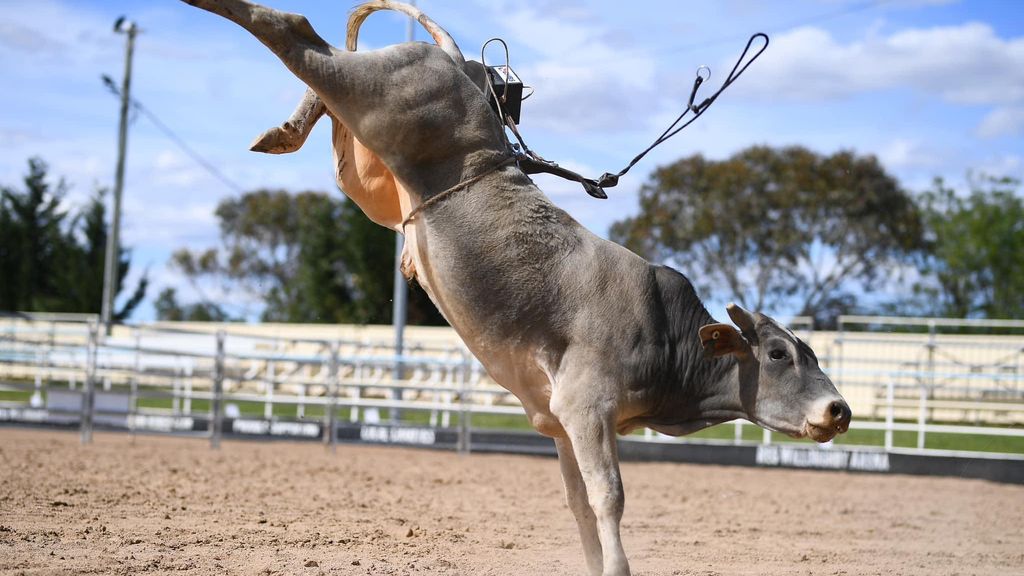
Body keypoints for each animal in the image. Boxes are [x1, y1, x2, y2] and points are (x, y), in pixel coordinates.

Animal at [181, 2, 852, 574]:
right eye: (778, 354)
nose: (840, 410)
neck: (666, 331)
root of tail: (456, 64)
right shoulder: (587, 409)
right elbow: (608, 497)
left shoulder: (561, 424)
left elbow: (580, 504)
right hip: (380, 100)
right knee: (294, 31)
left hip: (365, 156)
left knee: (313, 67)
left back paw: (284, 130)